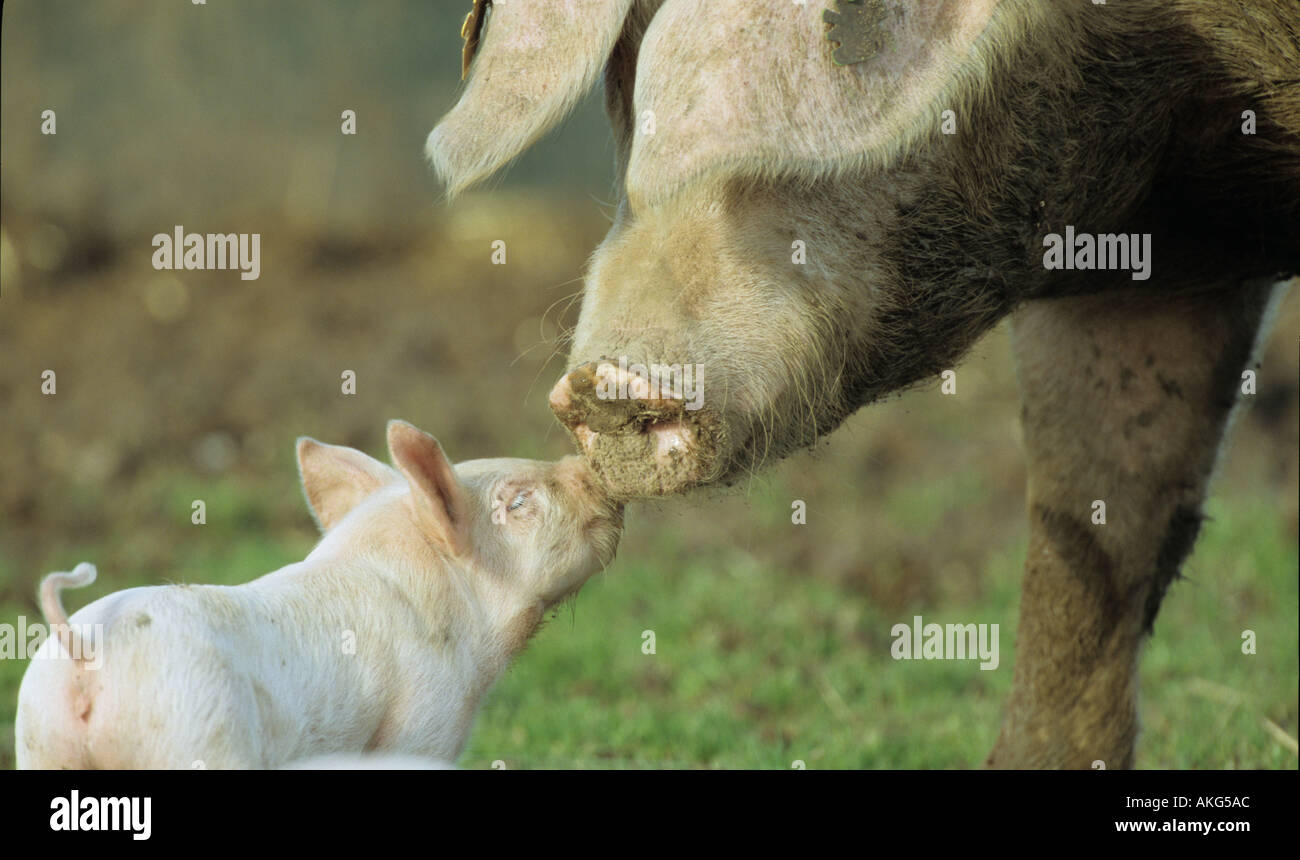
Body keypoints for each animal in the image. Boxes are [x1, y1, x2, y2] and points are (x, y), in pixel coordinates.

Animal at [15, 420, 622, 769]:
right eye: (517, 501)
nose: (589, 468)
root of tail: (85, 652)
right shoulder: (424, 721)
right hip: (193, 734)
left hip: (38, 742)